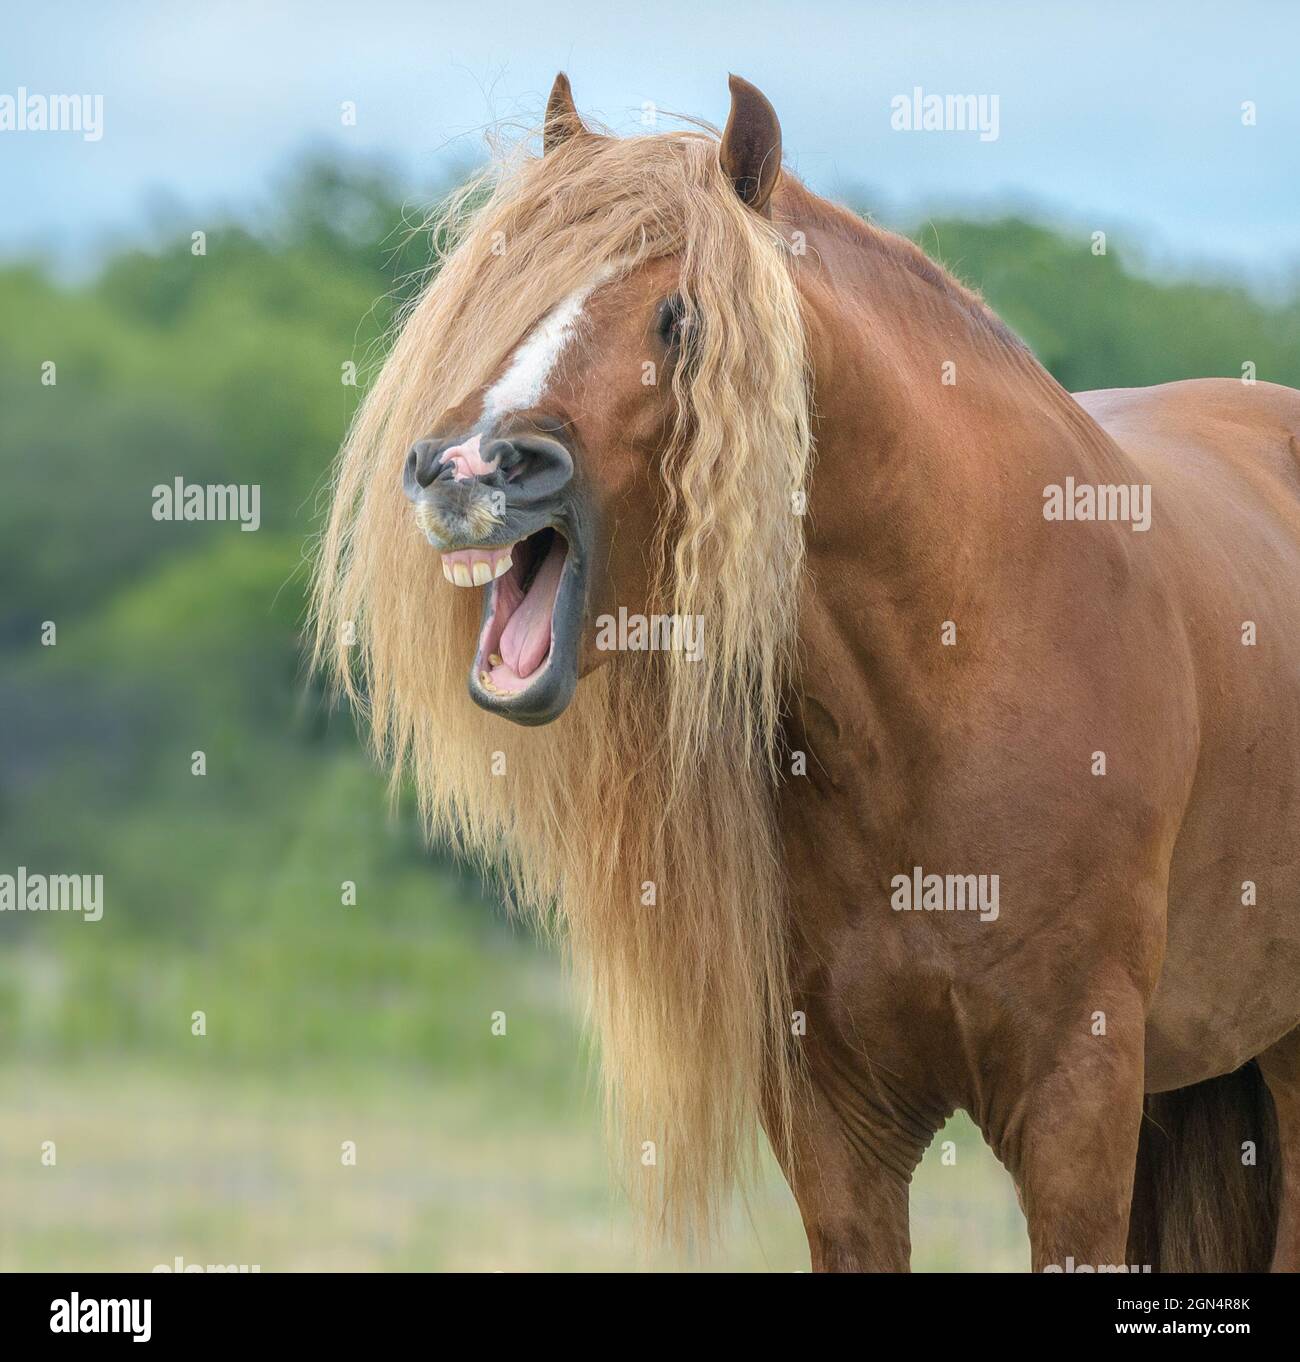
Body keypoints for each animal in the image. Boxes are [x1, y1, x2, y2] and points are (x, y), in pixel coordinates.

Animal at [313, 73, 1300, 1271]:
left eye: (679, 316)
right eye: (501, 292)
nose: (463, 469)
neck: (944, 688)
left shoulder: (1078, 1102)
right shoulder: (836, 1127)